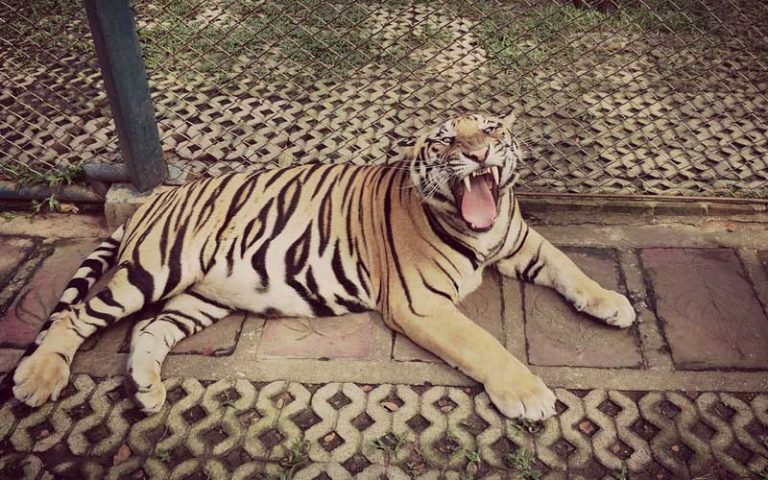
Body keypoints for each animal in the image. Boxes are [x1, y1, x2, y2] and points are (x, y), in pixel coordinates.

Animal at [1, 113, 635, 421]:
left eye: (492, 129)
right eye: (444, 140)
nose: (477, 153)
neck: (480, 228)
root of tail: (154, 198)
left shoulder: (520, 241)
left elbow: (570, 268)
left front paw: (614, 304)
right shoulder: (421, 304)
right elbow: (485, 345)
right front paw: (528, 394)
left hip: (200, 297)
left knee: (148, 330)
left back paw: (147, 391)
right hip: (156, 268)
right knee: (76, 317)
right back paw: (38, 378)